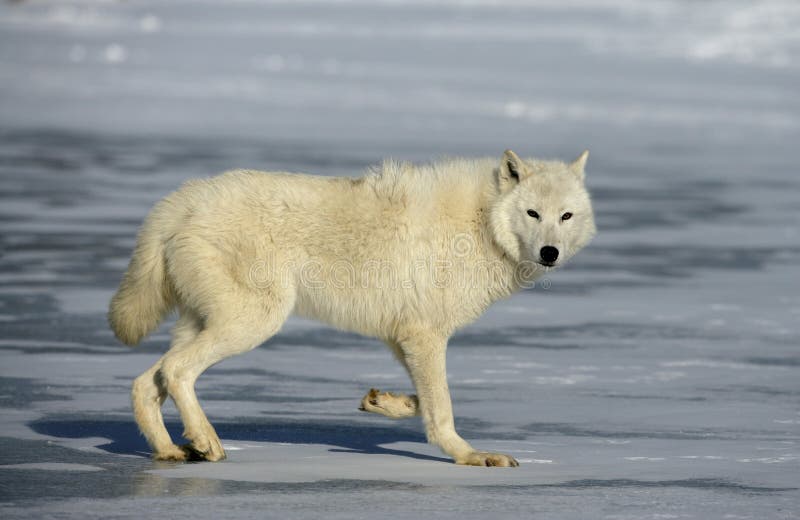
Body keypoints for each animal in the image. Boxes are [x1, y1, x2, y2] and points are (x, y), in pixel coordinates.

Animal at [109, 149, 596, 467]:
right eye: (533, 214)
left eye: (565, 216)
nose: (550, 252)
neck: (481, 223)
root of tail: (179, 202)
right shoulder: (425, 334)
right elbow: (442, 408)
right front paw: (471, 455)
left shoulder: (402, 335)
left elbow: (424, 402)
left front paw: (383, 402)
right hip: (255, 322)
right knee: (176, 372)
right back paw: (206, 442)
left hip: (203, 323)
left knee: (145, 381)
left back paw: (170, 450)